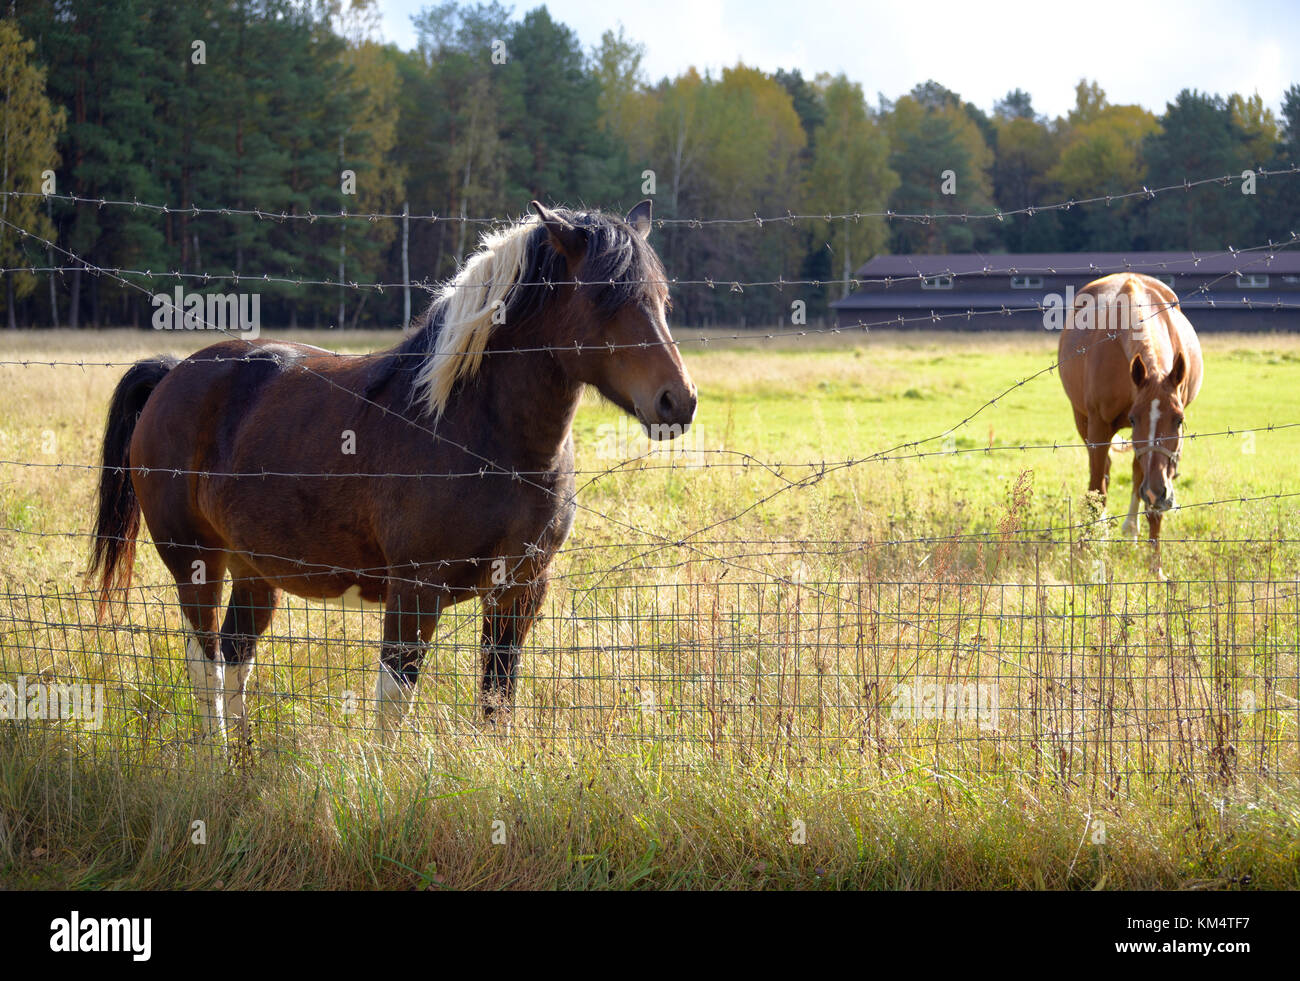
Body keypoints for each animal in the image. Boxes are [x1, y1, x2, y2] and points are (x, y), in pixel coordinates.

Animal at [88, 199, 697, 746]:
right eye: (604, 297)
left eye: (662, 299)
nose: (679, 401)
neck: (474, 431)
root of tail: (173, 373)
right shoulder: (415, 589)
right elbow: (394, 701)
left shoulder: (521, 589)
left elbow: (498, 697)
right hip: (195, 564)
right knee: (206, 664)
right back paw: (216, 757)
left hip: (255, 571)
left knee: (237, 658)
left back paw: (244, 760)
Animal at [1058, 271, 1203, 570]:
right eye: (1134, 420)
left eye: (1179, 420)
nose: (1157, 491)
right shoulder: (1098, 426)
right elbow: (1097, 490)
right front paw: (1089, 551)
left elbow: (1151, 502)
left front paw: (1155, 565)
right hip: (1083, 421)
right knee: (1105, 475)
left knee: (1138, 476)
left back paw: (1131, 529)